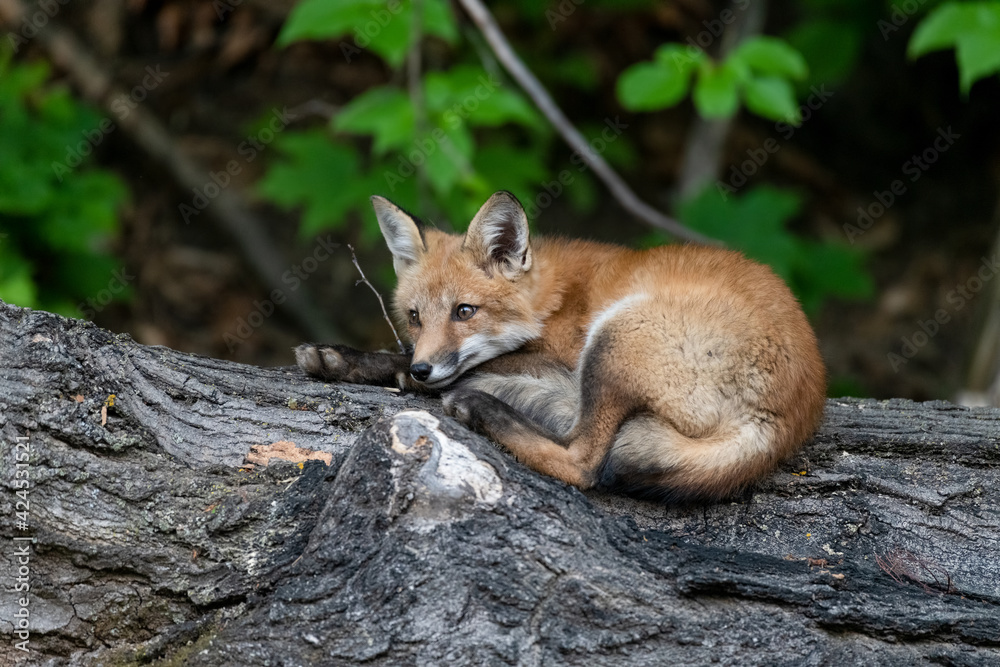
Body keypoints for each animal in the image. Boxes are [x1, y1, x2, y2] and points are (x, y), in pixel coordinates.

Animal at [296, 191, 826, 502]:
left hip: (616, 337)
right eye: (414, 316)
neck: (553, 300)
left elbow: (456, 363)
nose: (426, 369)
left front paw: (379, 366)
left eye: (464, 311)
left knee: (584, 463)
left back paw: (481, 408)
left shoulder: (561, 355)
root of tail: (791, 418)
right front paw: (342, 360)